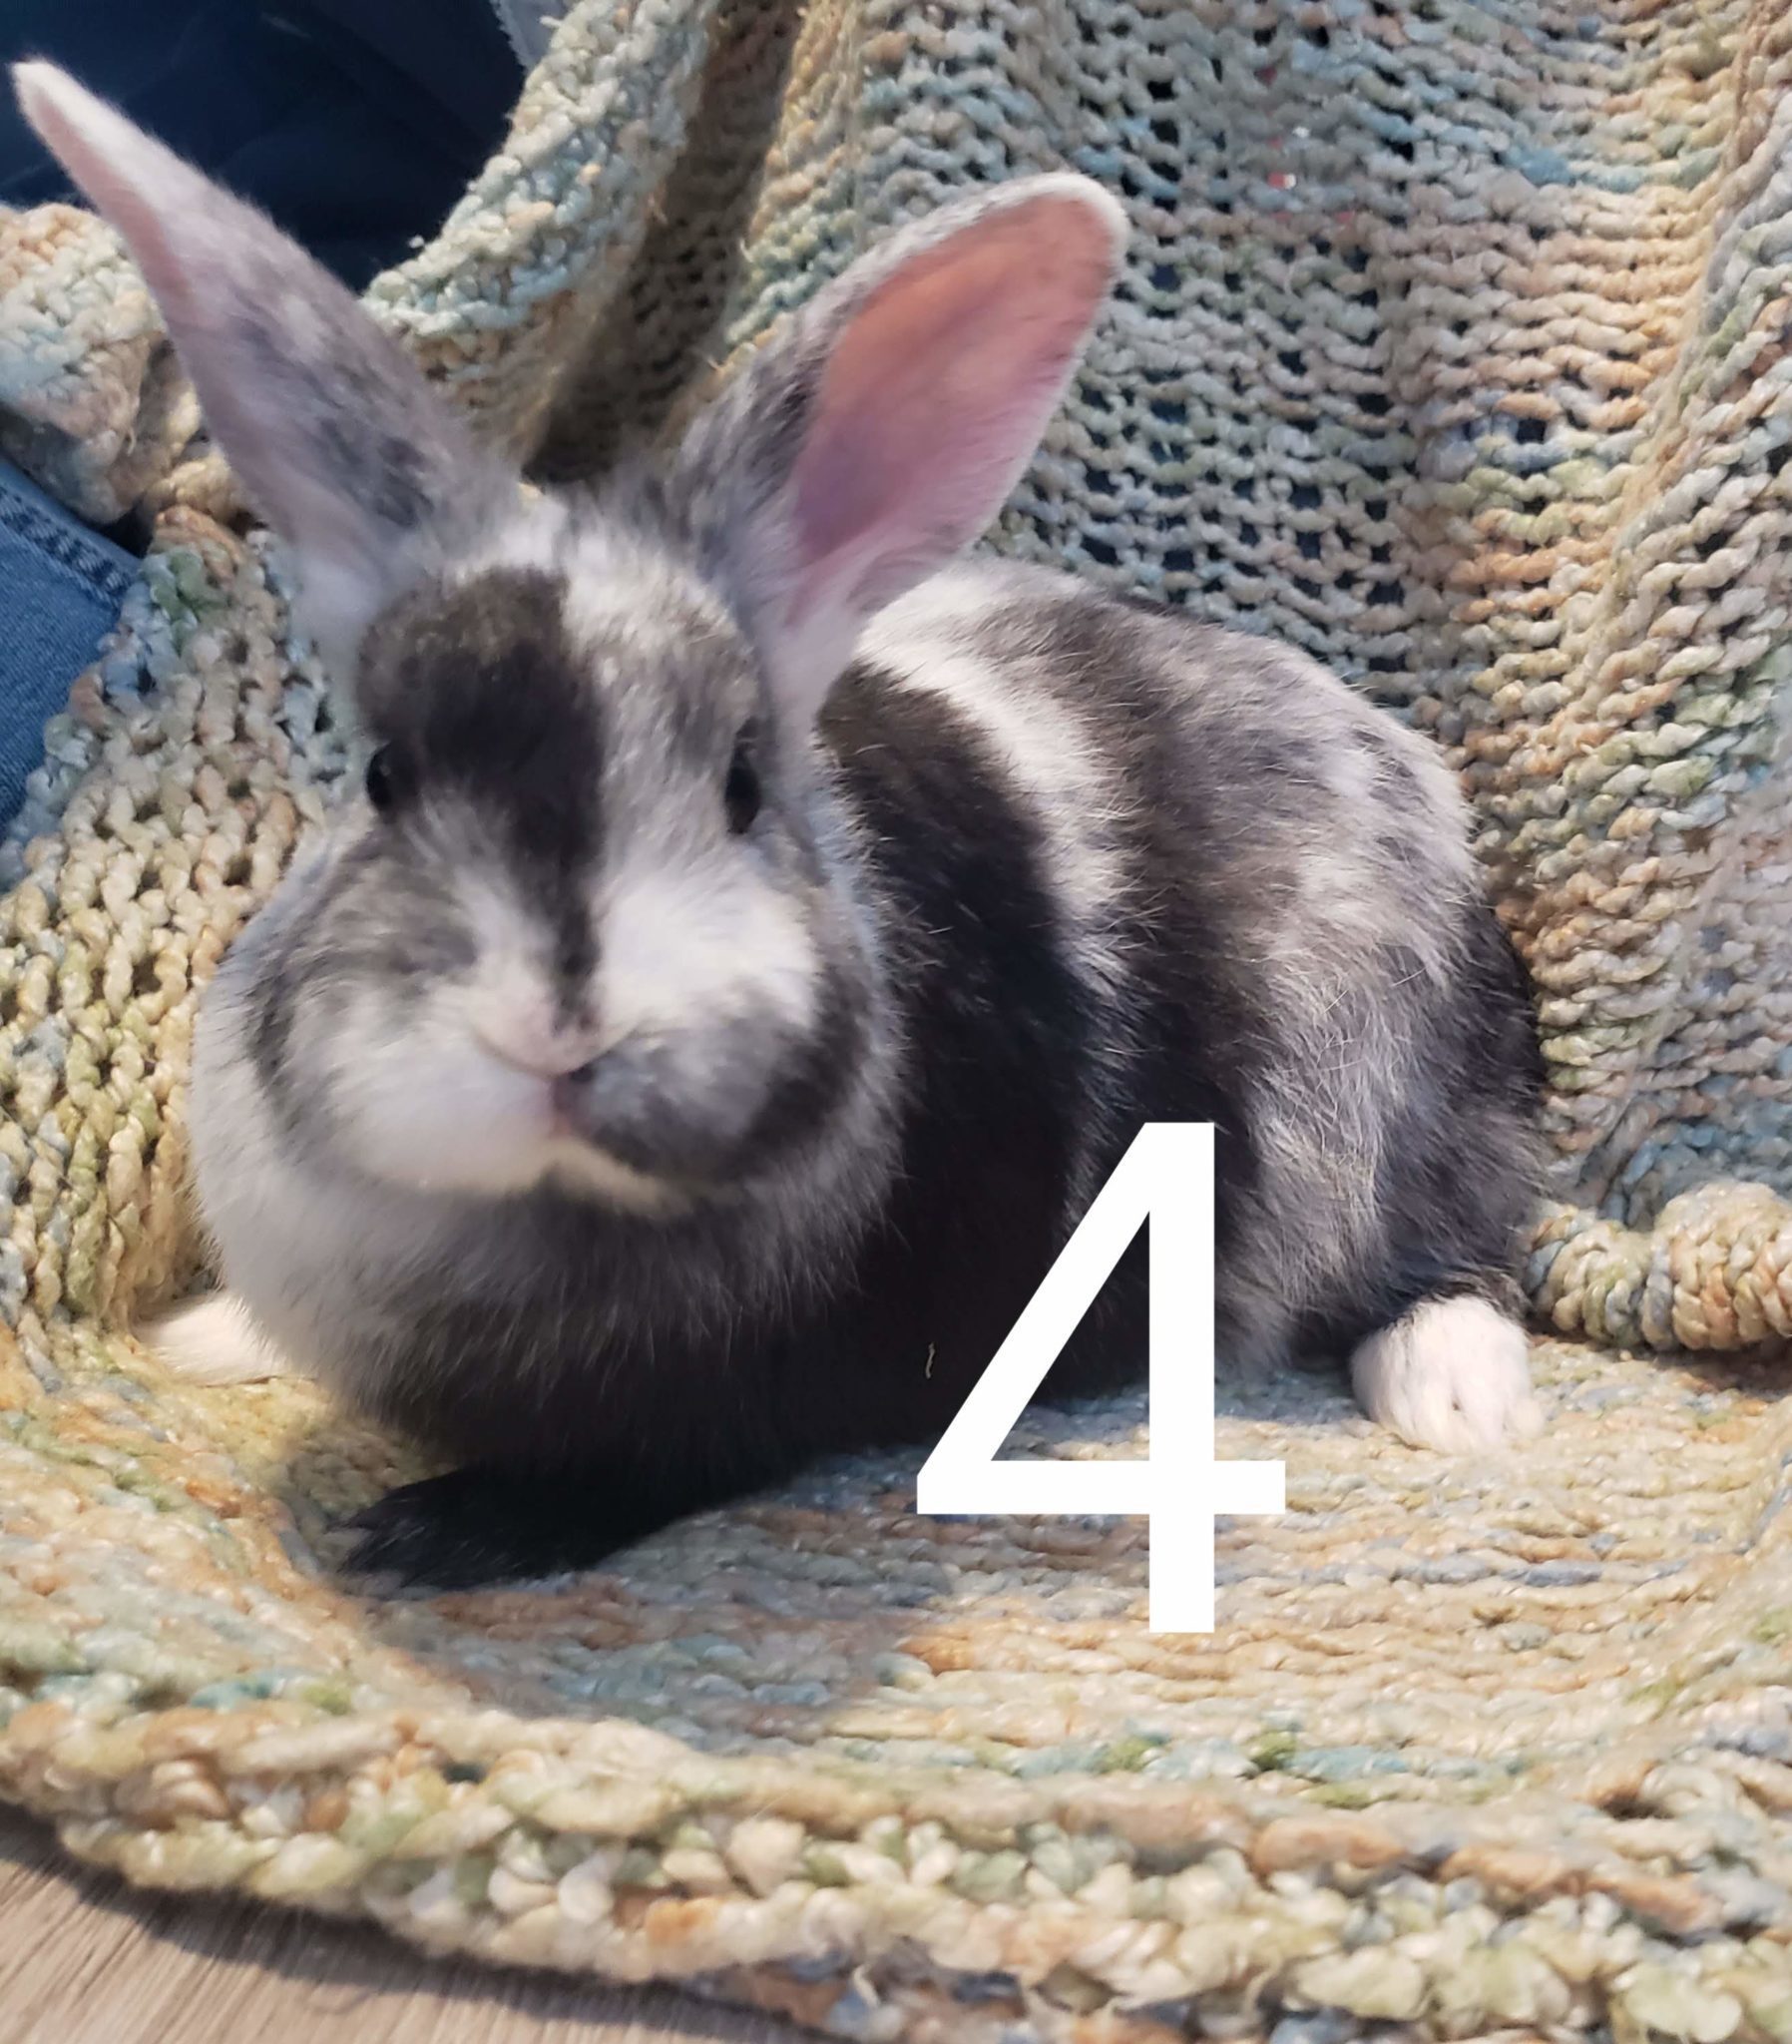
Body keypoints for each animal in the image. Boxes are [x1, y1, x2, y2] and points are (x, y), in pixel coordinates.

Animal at [19, 64, 1545, 1589]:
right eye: (386, 774)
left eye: (743, 781)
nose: (560, 1031)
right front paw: (205, 1337)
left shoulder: (758, 1402)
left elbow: (640, 1478)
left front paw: (429, 1533)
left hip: (1397, 1117)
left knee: (1450, 1244)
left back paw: (1455, 1396)